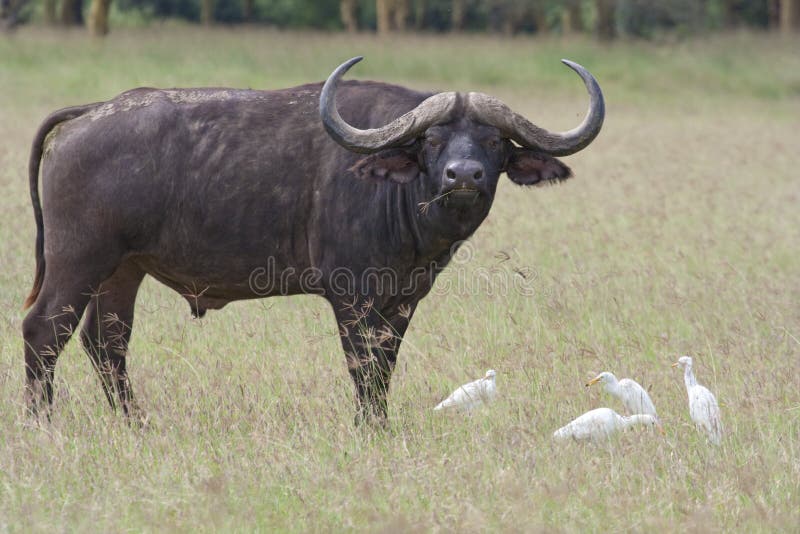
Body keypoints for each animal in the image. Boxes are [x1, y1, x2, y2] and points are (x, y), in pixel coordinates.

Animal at [22, 57, 604, 424]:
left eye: (493, 141)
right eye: (433, 140)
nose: (464, 176)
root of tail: (89, 112)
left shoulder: (404, 300)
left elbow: (385, 366)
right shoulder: (351, 297)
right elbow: (362, 368)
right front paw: (369, 429)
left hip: (124, 268)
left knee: (106, 341)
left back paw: (135, 423)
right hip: (78, 260)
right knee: (44, 330)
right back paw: (40, 422)